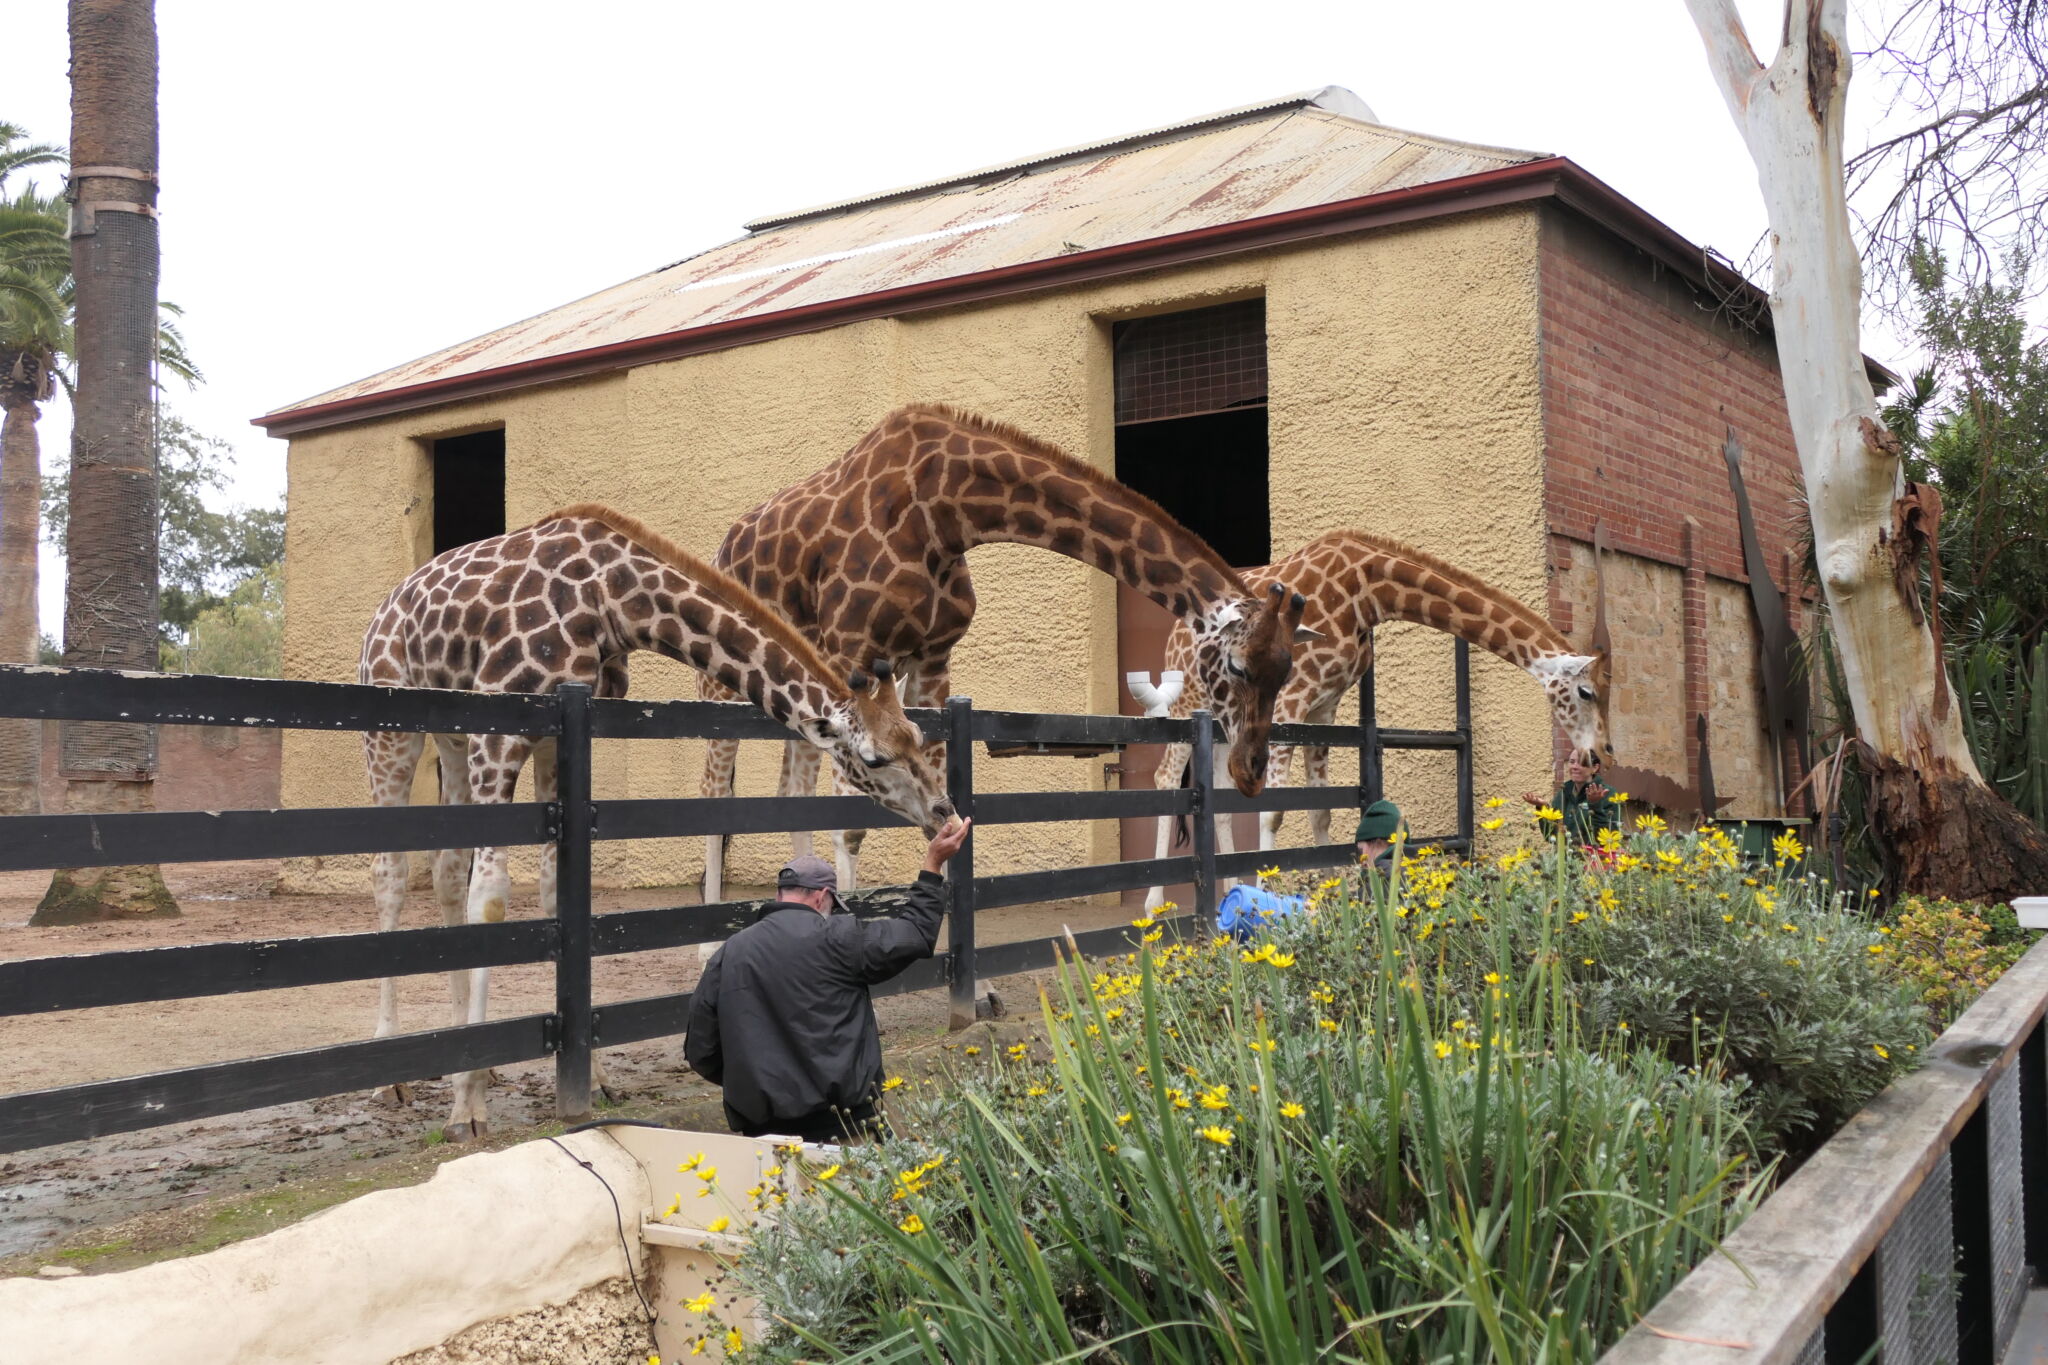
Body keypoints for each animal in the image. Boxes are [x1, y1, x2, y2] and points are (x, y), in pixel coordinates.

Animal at [360, 502, 953, 1138]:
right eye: (875, 758)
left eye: (917, 735)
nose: (942, 812)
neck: (613, 599)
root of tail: (383, 611)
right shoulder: (499, 732)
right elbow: (491, 897)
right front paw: (467, 1107)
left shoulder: (561, 735)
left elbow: (555, 891)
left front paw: (588, 1078)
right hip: (392, 728)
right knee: (391, 875)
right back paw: (391, 1077)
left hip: (450, 737)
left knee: (446, 870)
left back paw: (471, 1059)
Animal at [698, 403, 1314, 902]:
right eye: (1237, 667)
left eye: (1285, 673)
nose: (1250, 772)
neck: (945, 510)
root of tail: (725, 545)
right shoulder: (852, 646)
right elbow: (851, 824)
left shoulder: (931, 658)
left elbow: (942, 801)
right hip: (722, 682)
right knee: (713, 789)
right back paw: (709, 950)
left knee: (791, 788)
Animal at [1140, 529, 1613, 910]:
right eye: (1586, 692)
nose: (1599, 756)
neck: (1365, 591)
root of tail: (1173, 635)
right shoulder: (1290, 699)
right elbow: (1271, 812)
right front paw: (1264, 896)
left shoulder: (1323, 707)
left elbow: (1320, 812)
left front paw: (1331, 899)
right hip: (1186, 703)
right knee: (1166, 777)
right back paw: (1154, 906)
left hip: (1225, 720)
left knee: (1218, 794)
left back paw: (1227, 889)